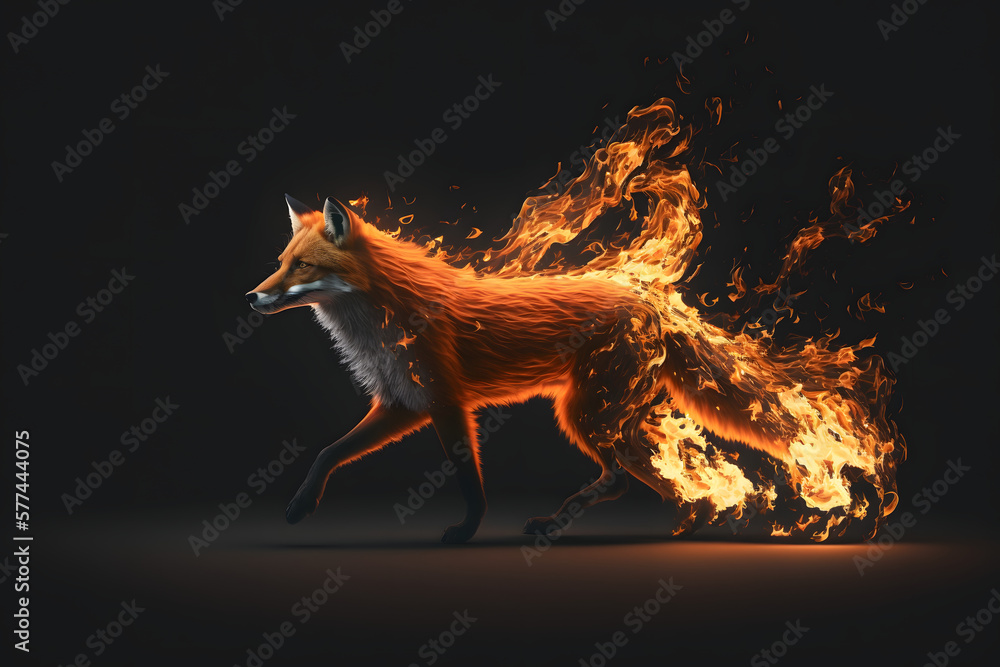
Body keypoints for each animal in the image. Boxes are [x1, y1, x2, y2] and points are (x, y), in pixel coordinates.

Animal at [246, 194, 811, 543]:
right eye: (280, 262)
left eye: (303, 266)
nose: (252, 297)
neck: (385, 318)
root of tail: (652, 302)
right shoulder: (403, 404)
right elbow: (329, 452)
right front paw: (300, 506)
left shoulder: (446, 403)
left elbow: (470, 481)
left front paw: (466, 532)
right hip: (612, 419)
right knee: (660, 477)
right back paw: (689, 522)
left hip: (584, 415)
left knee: (621, 480)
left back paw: (560, 522)